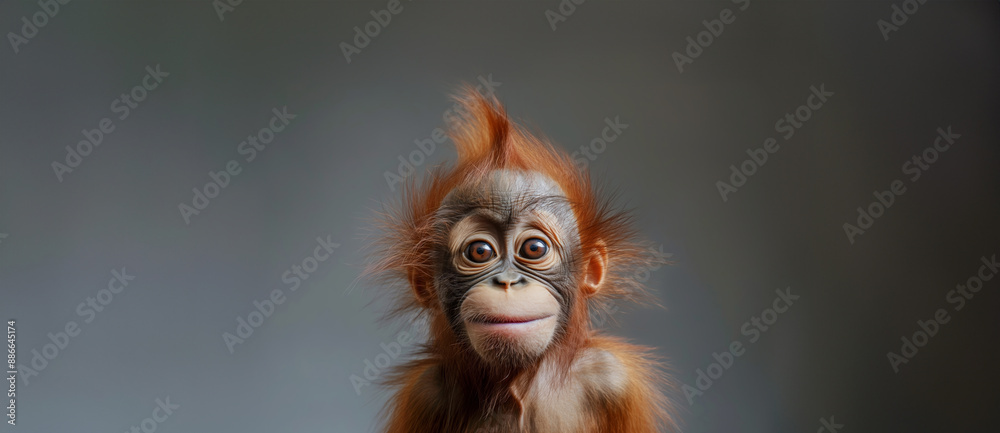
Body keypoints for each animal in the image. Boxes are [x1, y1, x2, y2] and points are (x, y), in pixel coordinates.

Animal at [367, 86, 677, 433]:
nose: (507, 282)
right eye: (480, 252)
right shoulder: (425, 393)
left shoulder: (614, 379)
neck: (518, 382)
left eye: (534, 249)